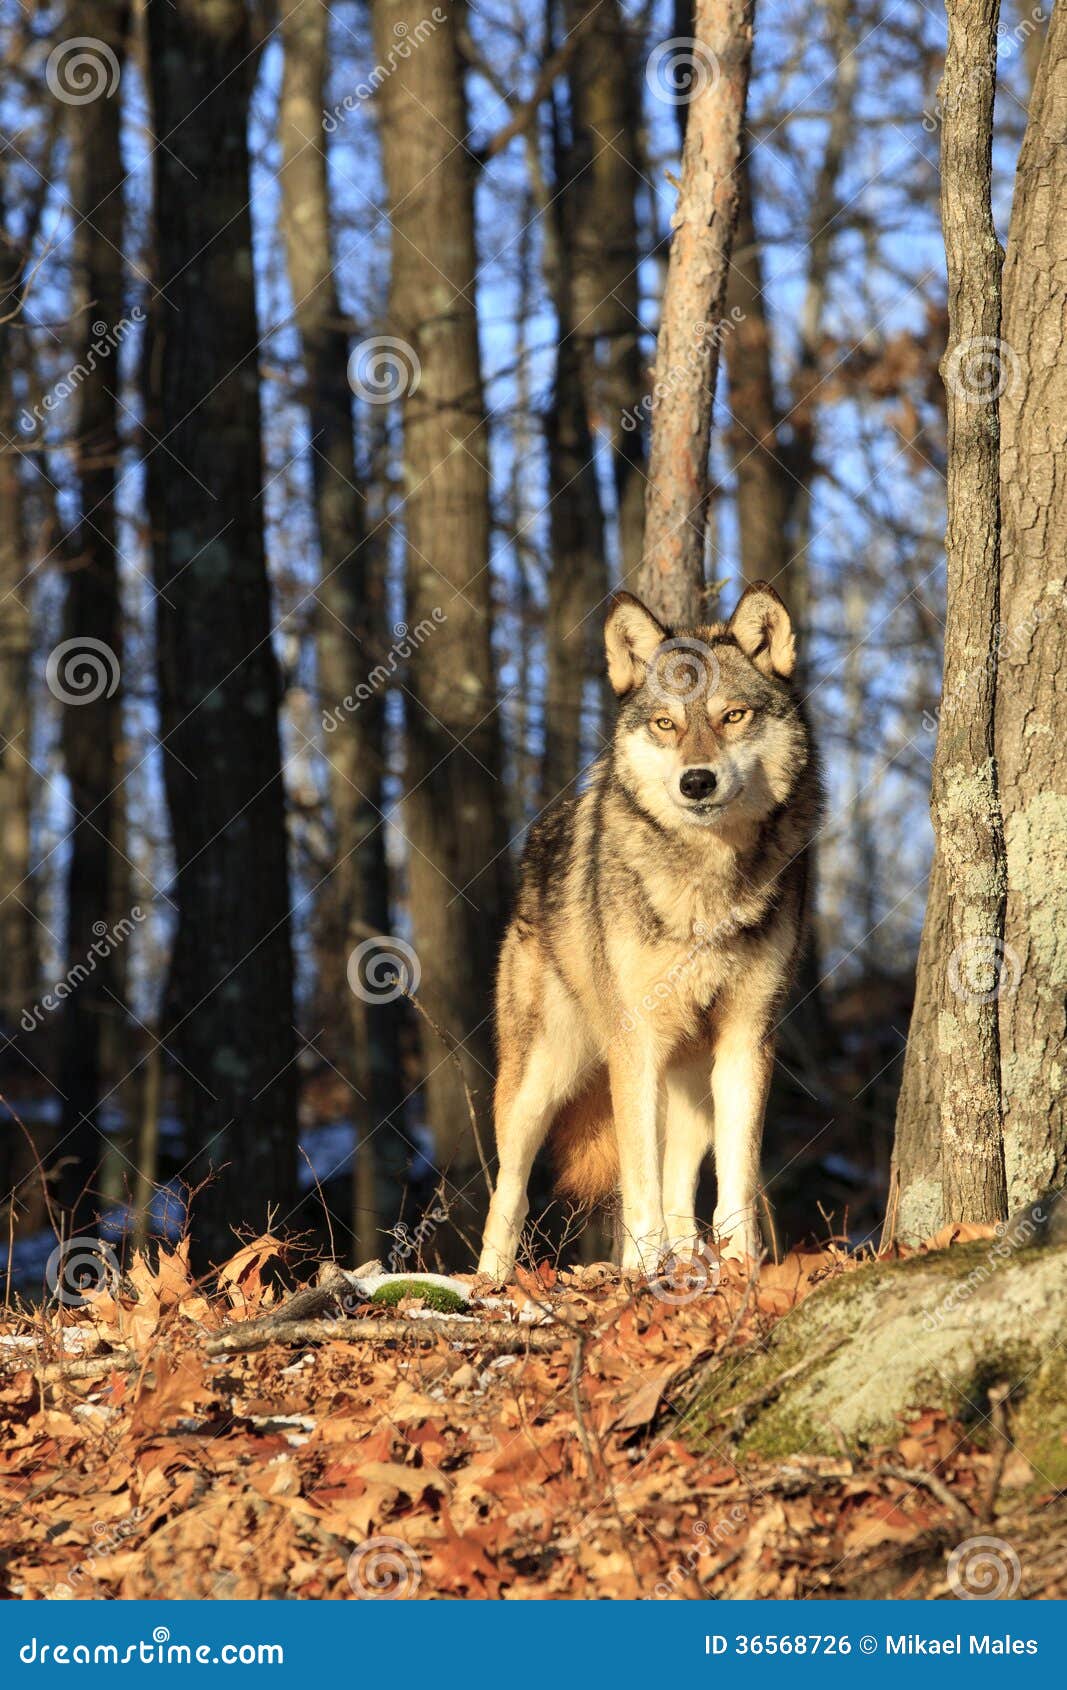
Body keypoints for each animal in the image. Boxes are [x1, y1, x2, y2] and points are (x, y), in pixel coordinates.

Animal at [477, 583, 821, 1280]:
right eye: (666, 724)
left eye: (732, 716)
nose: (697, 781)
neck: (707, 880)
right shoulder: (635, 1044)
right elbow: (637, 1178)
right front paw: (640, 1272)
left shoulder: (748, 1039)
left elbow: (736, 1178)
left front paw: (740, 1271)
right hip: (540, 1079)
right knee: (510, 1193)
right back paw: (487, 1286)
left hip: (690, 1081)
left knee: (680, 1189)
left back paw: (690, 1262)